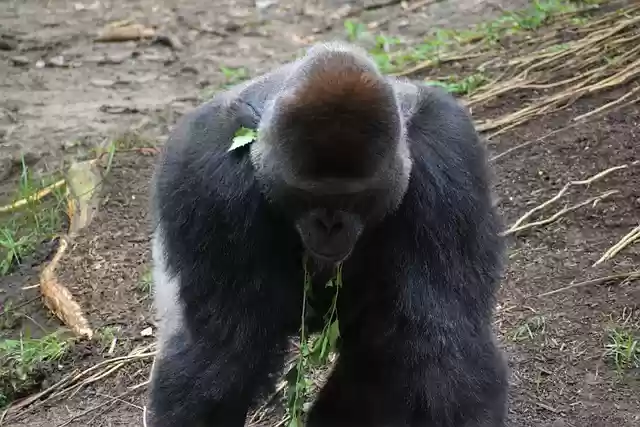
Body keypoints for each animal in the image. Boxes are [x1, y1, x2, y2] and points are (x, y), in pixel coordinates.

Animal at [148, 41, 508, 427]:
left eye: (354, 198)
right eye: (309, 196)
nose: (330, 225)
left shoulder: (446, 152)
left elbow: (444, 339)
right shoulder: (212, 173)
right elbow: (221, 351)